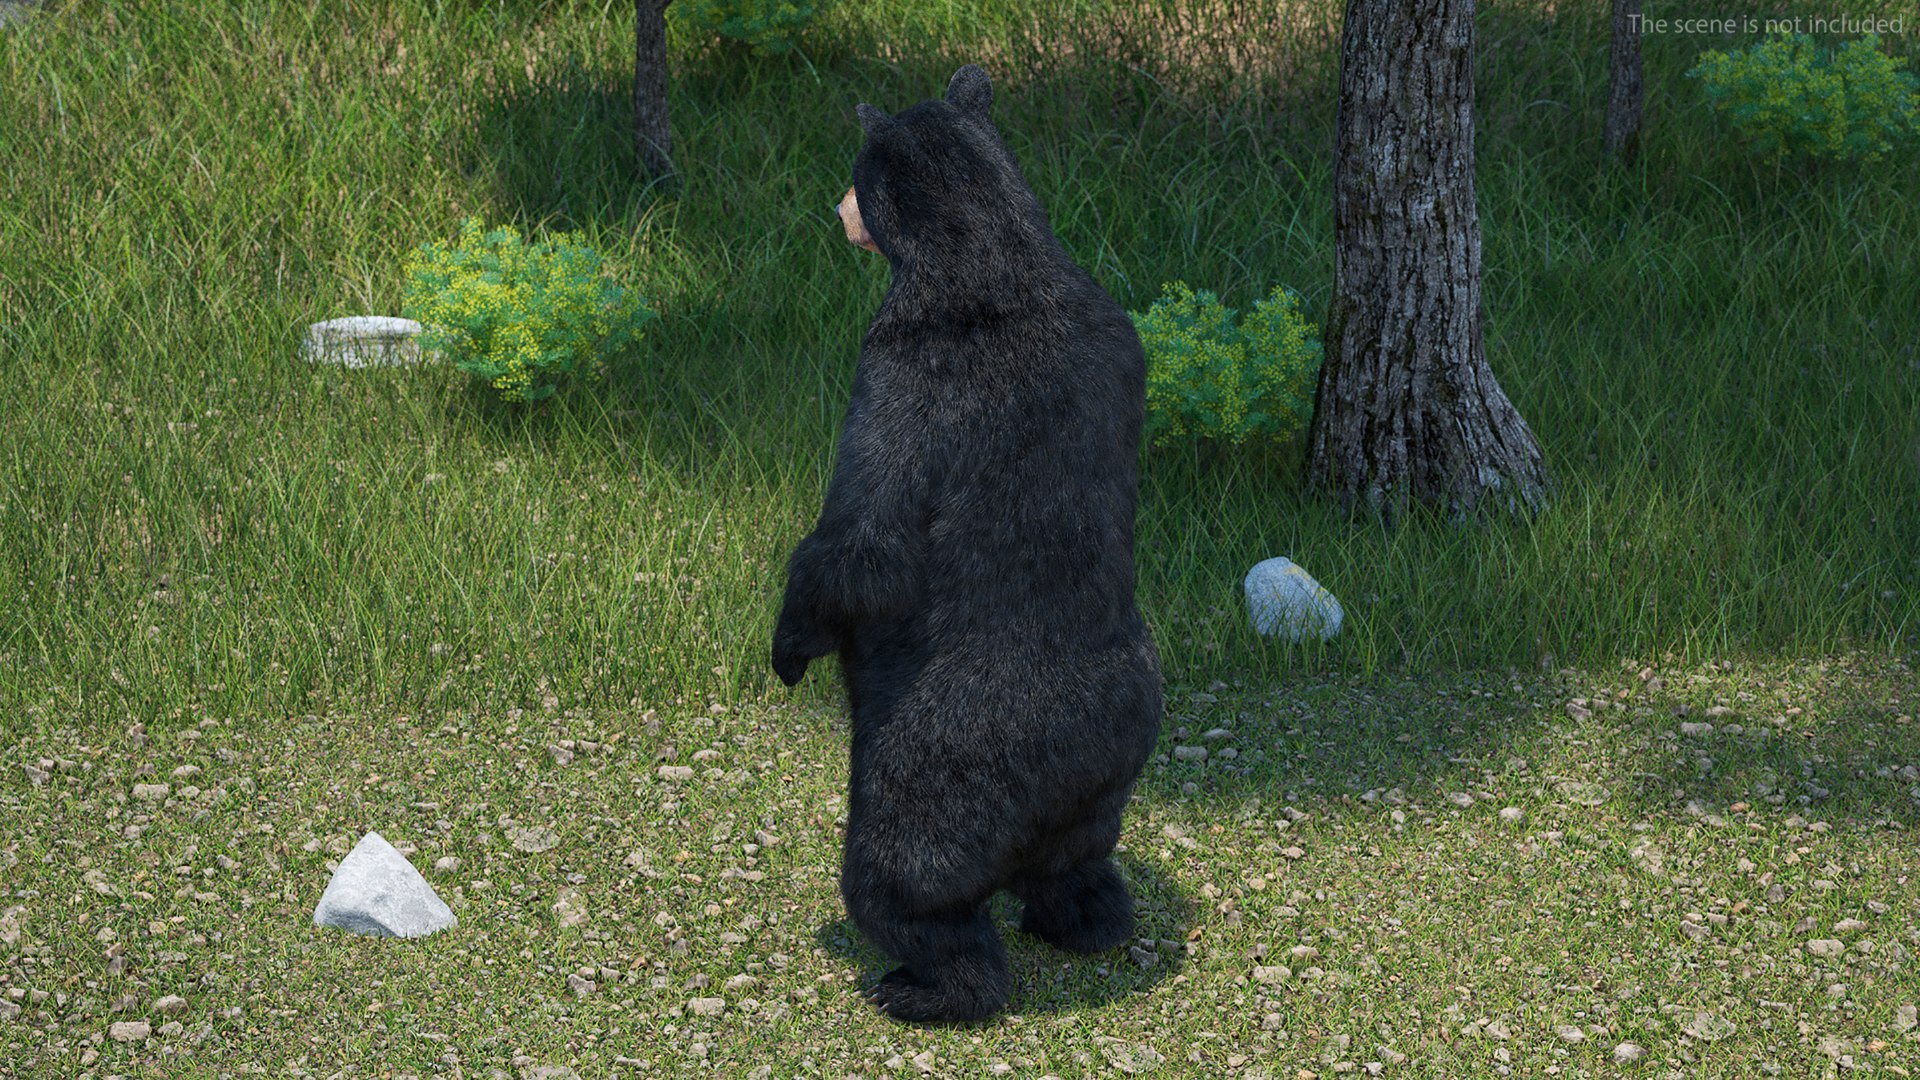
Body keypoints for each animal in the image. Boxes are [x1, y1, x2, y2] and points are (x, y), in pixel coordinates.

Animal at [772, 64, 1163, 1024]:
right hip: (1114, 777)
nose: (839, 206)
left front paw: (789, 648)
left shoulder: (900, 363)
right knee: (1078, 862)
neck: (995, 255)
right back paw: (1089, 920)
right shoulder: (1113, 329)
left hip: (943, 759)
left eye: (860, 171)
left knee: (900, 875)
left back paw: (923, 985)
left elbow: (864, 537)